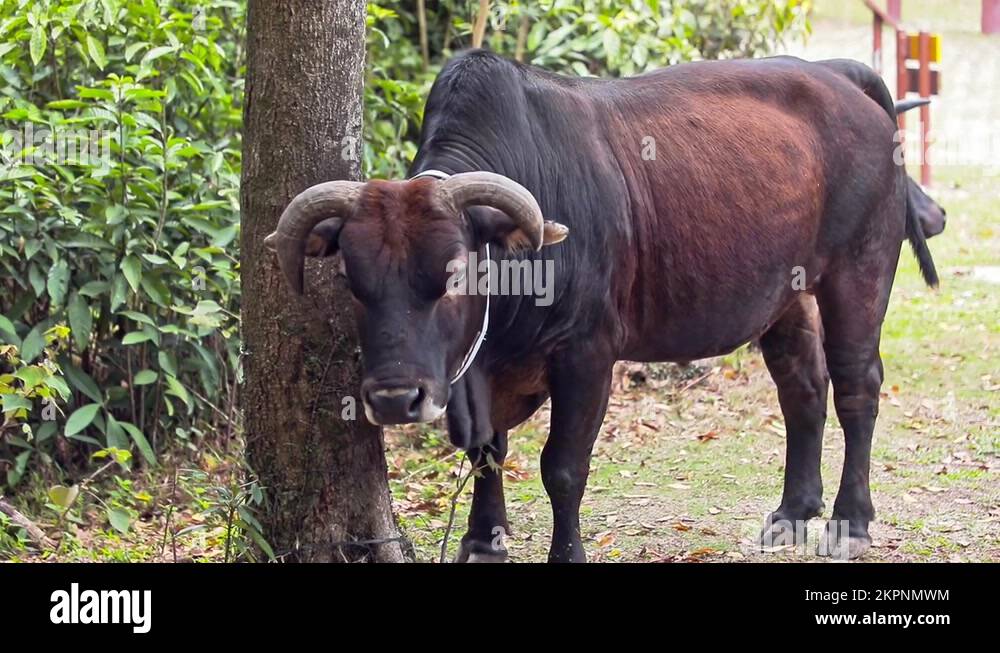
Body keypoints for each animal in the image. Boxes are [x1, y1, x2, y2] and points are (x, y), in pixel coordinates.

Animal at [265, 50, 939, 562]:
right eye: (352, 278)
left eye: (456, 273)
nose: (393, 399)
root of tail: (837, 75)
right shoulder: (479, 373)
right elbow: (486, 452)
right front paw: (483, 542)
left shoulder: (586, 355)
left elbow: (562, 467)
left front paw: (566, 553)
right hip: (786, 297)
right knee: (803, 388)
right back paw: (794, 511)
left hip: (859, 272)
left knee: (857, 387)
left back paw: (851, 521)